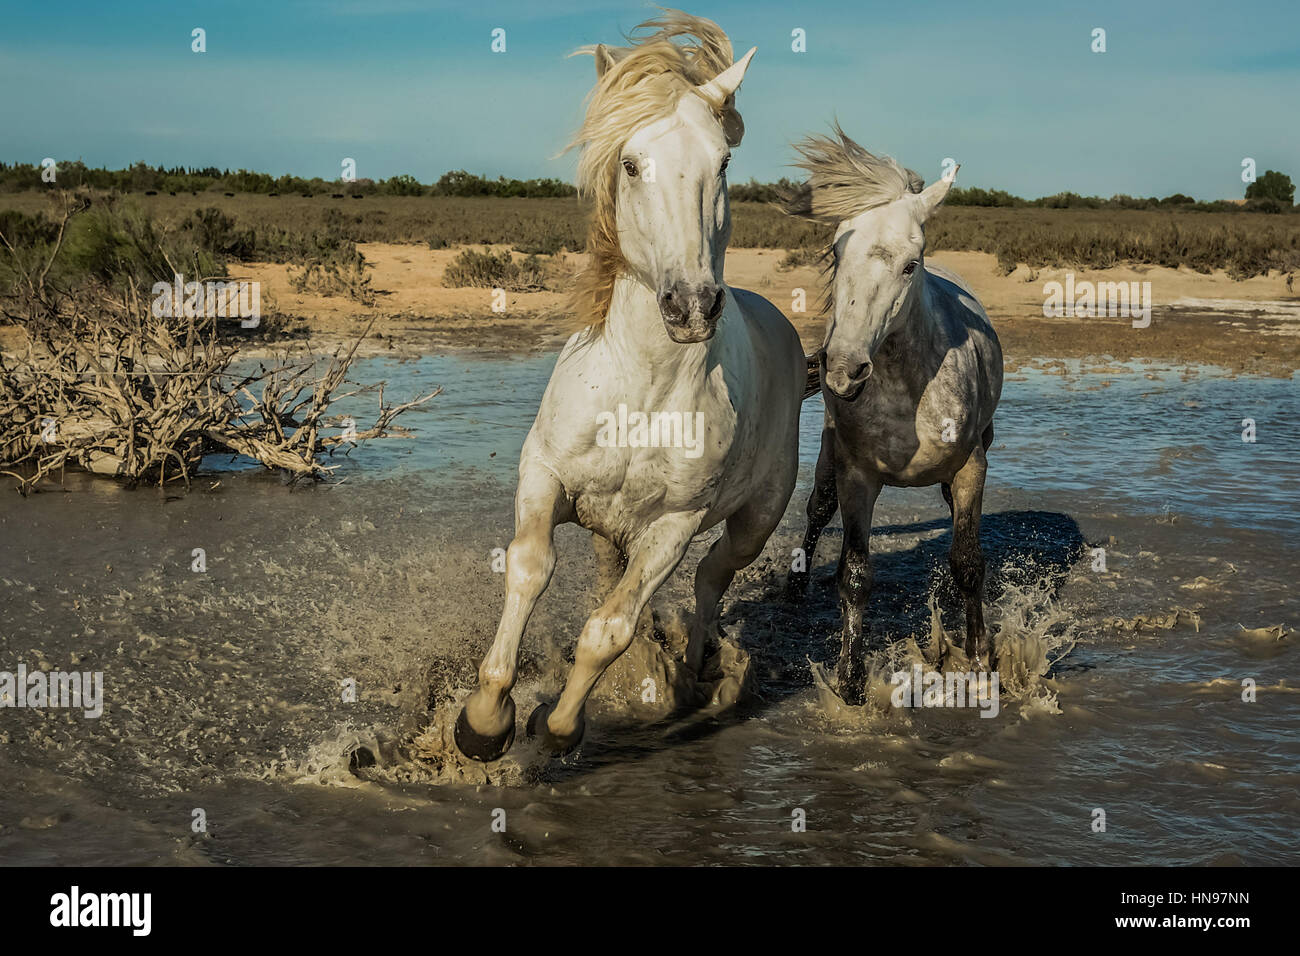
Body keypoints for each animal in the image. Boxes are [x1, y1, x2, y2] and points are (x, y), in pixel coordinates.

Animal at [454, 12, 805, 761]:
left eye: (723, 163)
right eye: (631, 163)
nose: (693, 306)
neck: (642, 389)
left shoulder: (673, 527)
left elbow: (609, 630)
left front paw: (555, 726)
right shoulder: (544, 475)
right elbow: (529, 569)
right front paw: (484, 720)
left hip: (749, 523)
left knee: (709, 581)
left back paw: (697, 674)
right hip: (609, 527)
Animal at [783, 126, 1003, 706]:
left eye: (910, 264)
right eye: (836, 252)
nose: (842, 370)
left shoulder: (971, 467)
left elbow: (968, 561)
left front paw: (978, 660)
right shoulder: (858, 477)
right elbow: (855, 575)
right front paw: (849, 683)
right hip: (828, 457)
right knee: (817, 510)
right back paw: (794, 588)